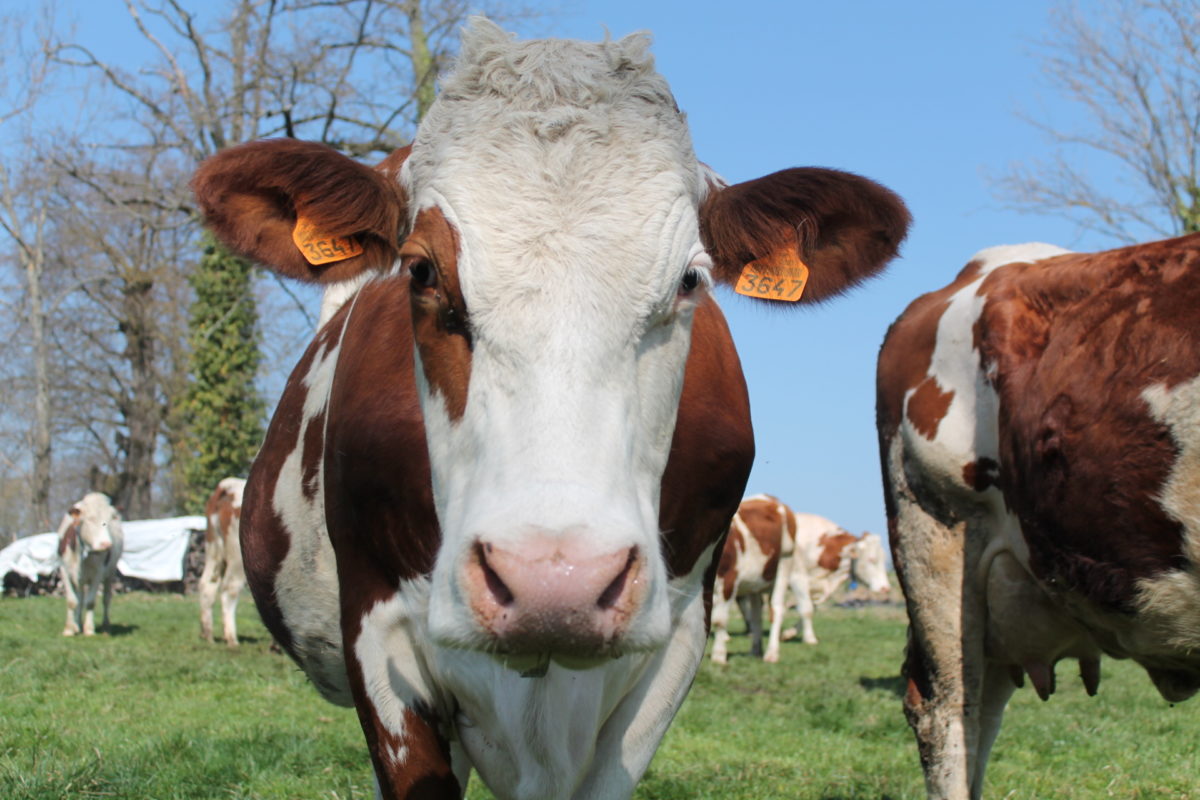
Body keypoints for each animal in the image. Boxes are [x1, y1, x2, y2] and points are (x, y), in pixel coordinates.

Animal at [57, 492, 124, 637]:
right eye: (91, 519)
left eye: (110, 520)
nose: (106, 545)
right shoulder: (64, 571)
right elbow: (72, 601)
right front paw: (69, 629)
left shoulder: (98, 574)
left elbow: (91, 602)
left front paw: (89, 630)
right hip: (80, 579)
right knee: (80, 599)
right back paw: (77, 625)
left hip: (110, 573)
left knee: (106, 599)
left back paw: (105, 627)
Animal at [199, 477, 247, 647]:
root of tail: (229, 485)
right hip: (237, 557)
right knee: (229, 589)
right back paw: (231, 639)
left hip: (214, 551)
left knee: (207, 585)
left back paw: (208, 635)